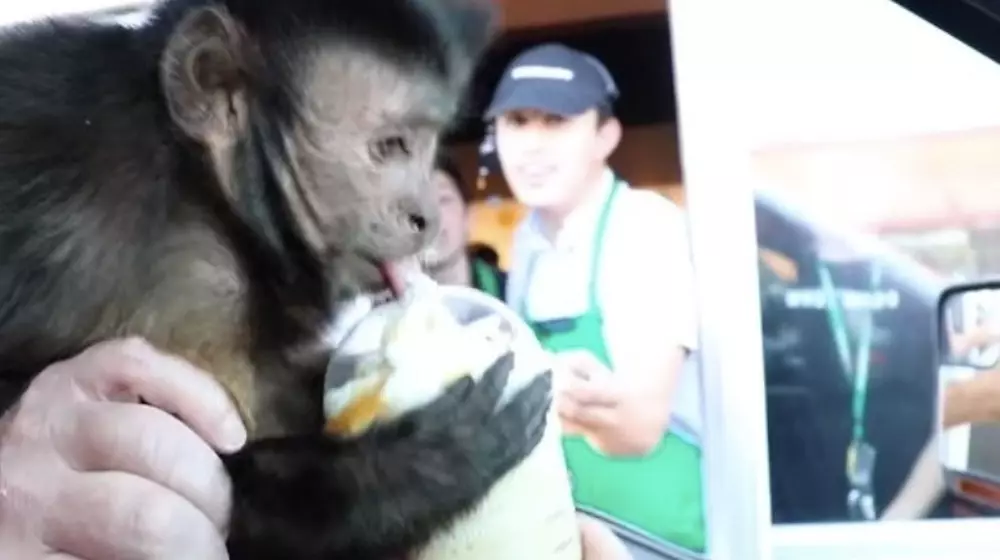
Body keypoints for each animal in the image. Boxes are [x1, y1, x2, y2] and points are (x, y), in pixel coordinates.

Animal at [0, 1, 552, 560]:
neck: (206, 198)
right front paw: (428, 460)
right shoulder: (175, 274)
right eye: (391, 146)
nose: (428, 219)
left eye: (428, 148)